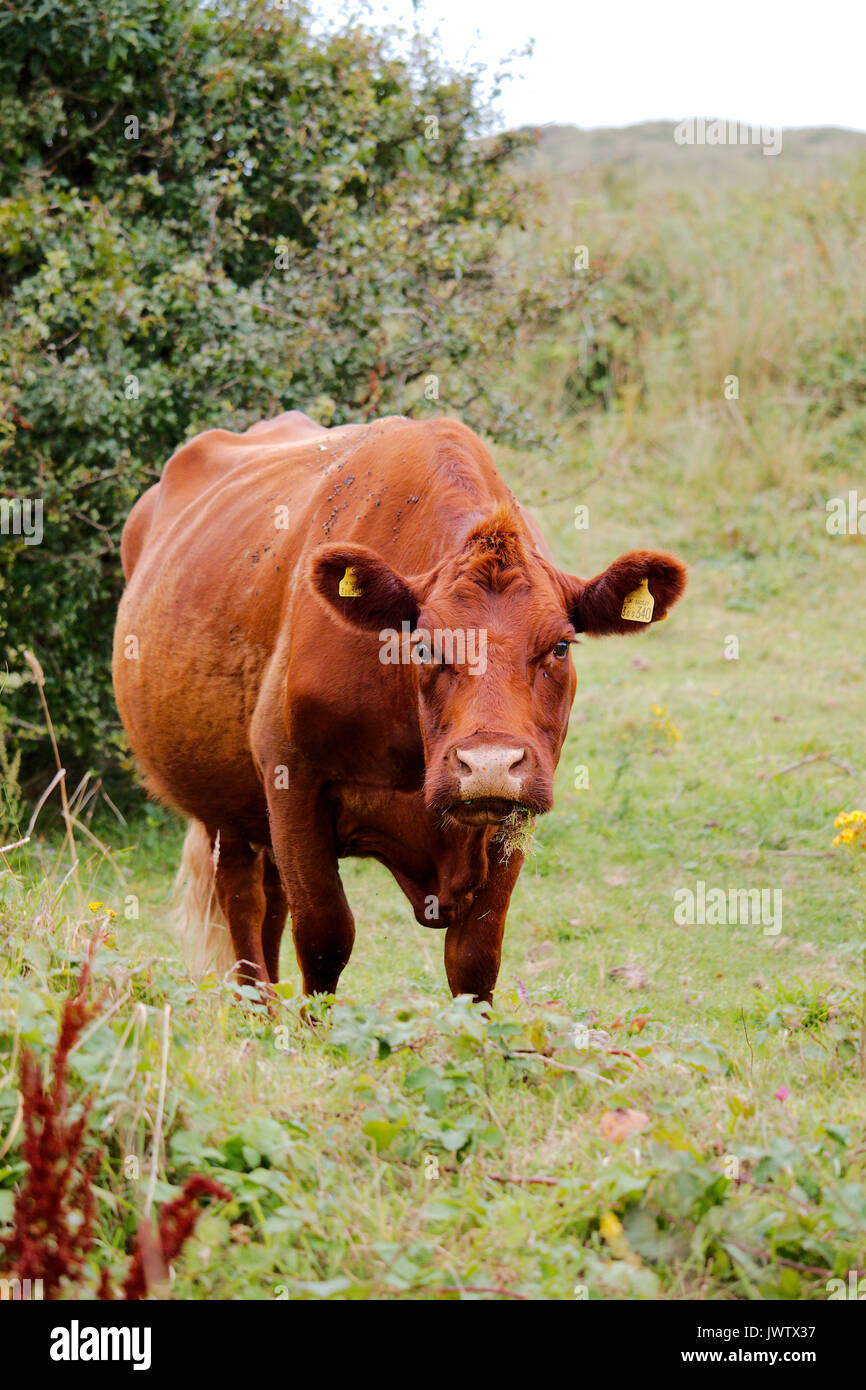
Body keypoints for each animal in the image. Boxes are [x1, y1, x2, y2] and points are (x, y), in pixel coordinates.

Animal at [113, 411, 686, 1003]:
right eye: (425, 647)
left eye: (561, 646)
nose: (488, 766)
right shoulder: (291, 778)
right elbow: (324, 935)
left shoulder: (516, 814)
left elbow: (475, 957)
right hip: (220, 804)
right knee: (245, 903)